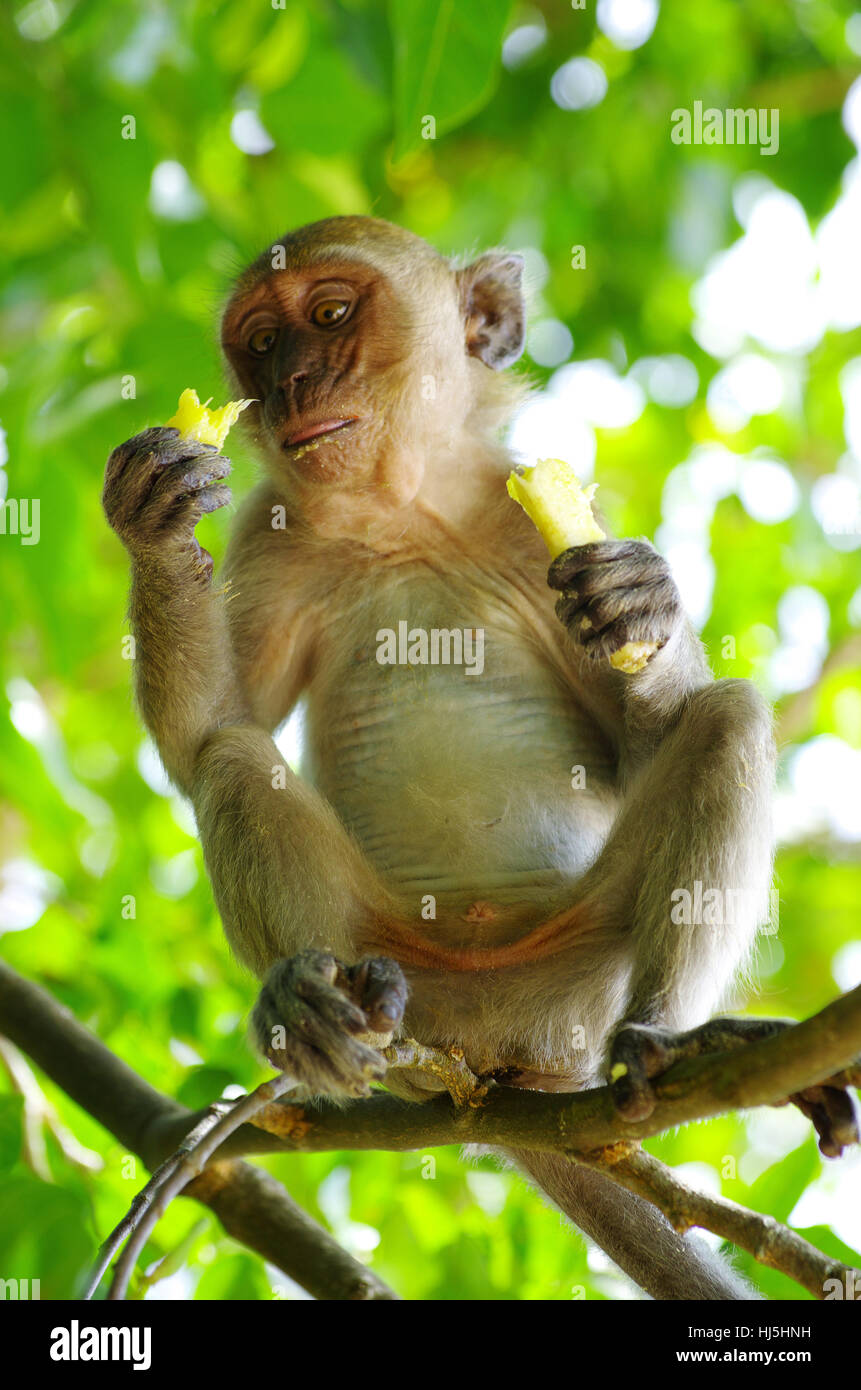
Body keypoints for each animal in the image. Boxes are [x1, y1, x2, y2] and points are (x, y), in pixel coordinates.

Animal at [102, 215, 858, 1300]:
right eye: (260, 341)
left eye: (329, 313)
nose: (291, 383)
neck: (403, 511)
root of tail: (490, 1060)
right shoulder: (269, 537)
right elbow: (205, 732)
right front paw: (155, 523)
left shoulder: (522, 521)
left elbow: (645, 737)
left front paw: (642, 606)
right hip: (404, 956)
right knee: (237, 764)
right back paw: (318, 1007)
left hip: (571, 989)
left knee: (726, 721)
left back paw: (671, 1043)